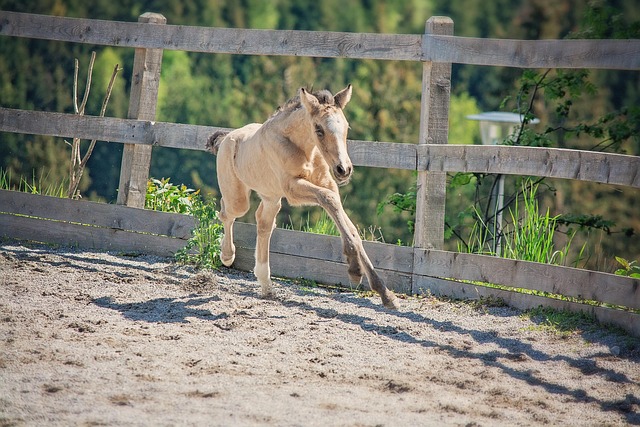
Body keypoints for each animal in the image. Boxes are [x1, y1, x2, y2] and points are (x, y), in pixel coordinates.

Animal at [206, 85, 398, 309]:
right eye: (319, 129)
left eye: (346, 127)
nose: (344, 170)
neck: (302, 148)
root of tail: (227, 137)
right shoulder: (293, 188)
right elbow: (328, 200)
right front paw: (354, 270)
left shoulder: (328, 184)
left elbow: (348, 225)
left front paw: (385, 293)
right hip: (239, 199)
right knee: (226, 213)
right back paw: (227, 255)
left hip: (271, 197)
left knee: (263, 224)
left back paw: (266, 284)